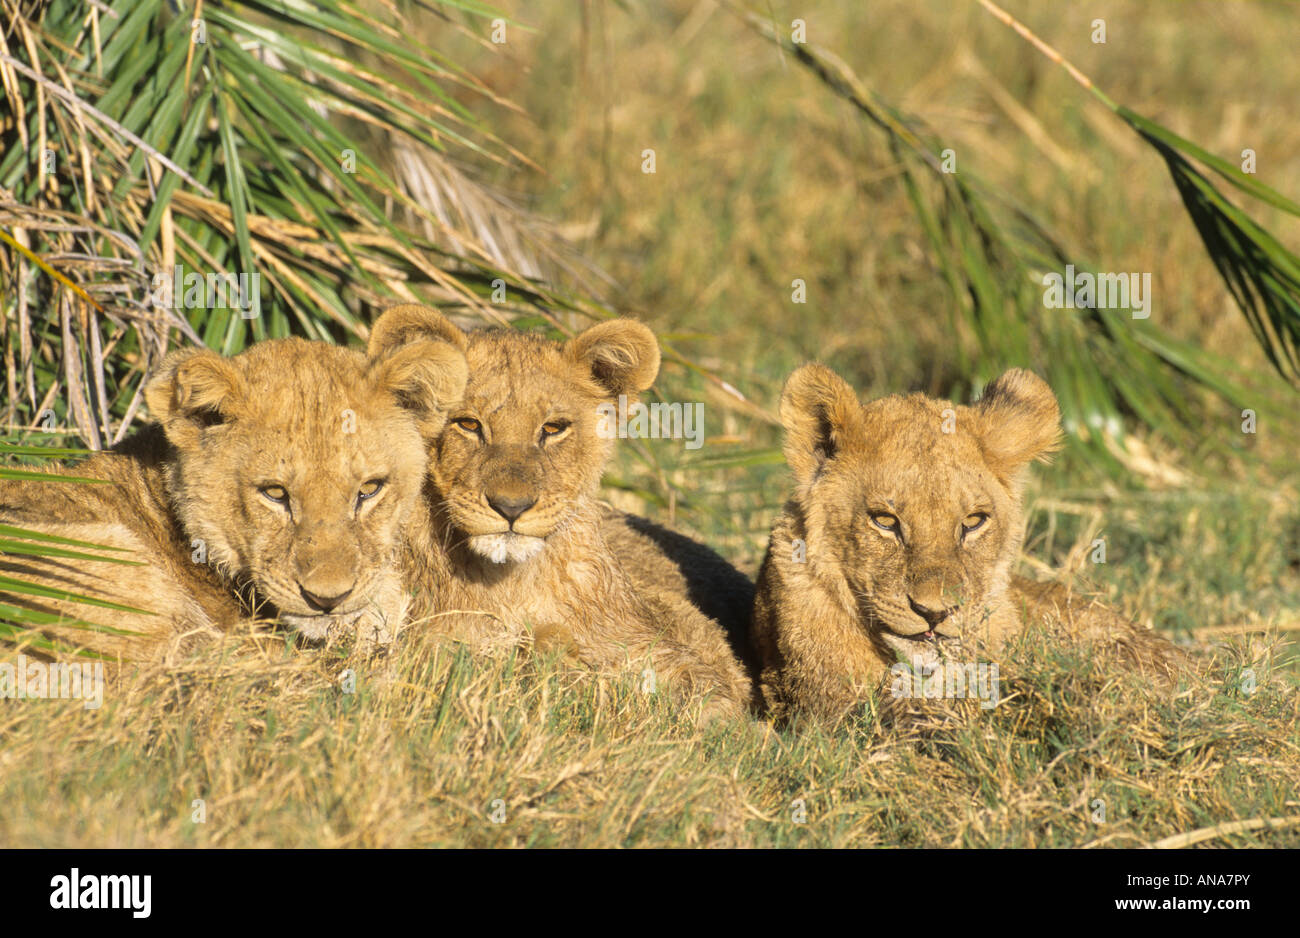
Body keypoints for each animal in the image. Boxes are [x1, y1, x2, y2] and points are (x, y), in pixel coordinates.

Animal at [371, 305, 754, 720]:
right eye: (468, 424)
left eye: (553, 428)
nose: (511, 507)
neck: (515, 583)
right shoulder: (433, 642)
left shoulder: (677, 655)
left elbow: (707, 698)